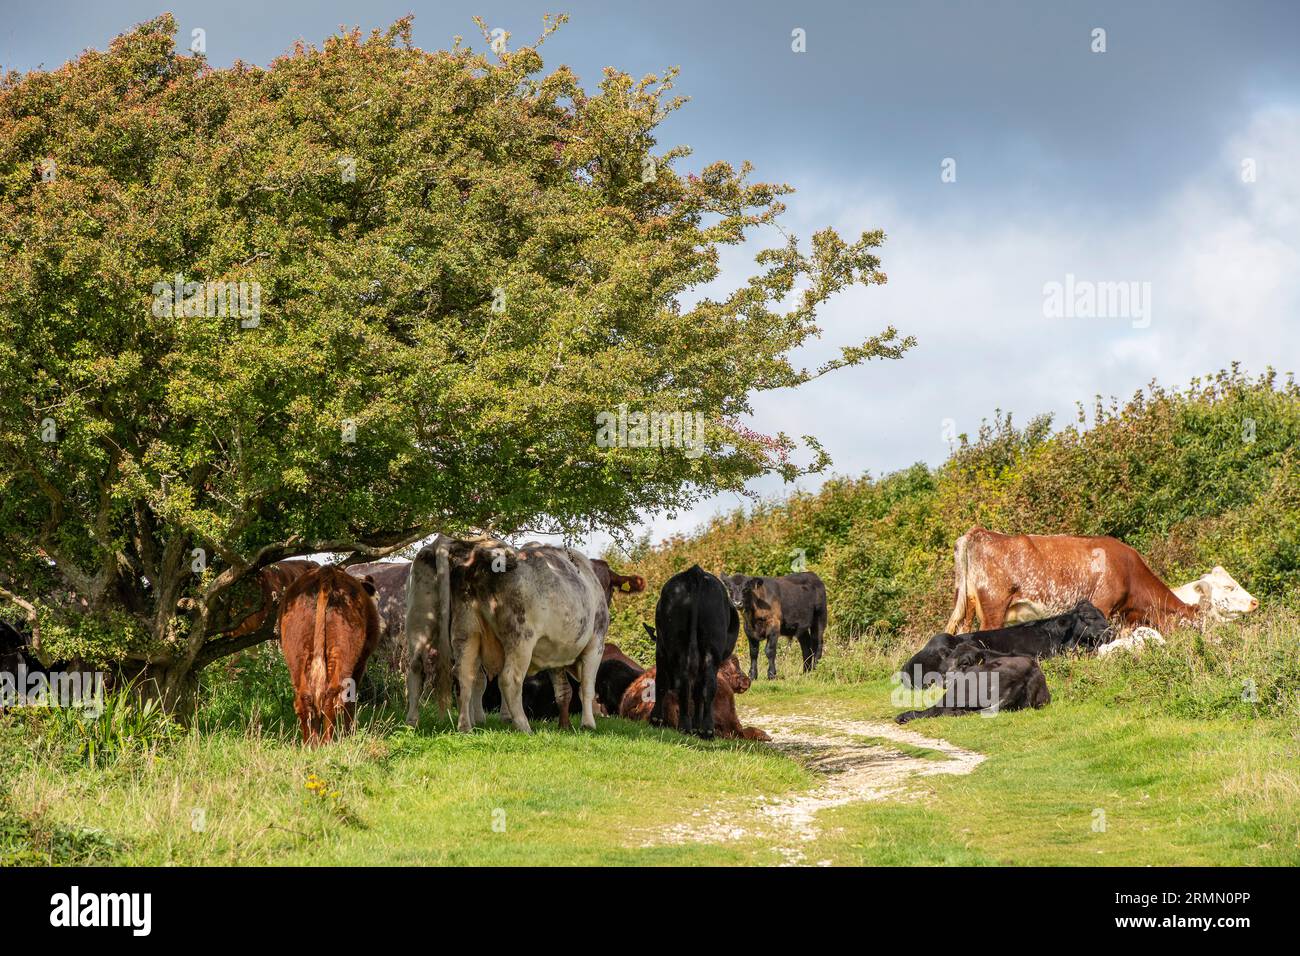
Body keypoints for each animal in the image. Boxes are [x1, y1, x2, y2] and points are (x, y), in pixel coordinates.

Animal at [278, 566, 380, 745]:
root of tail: (325, 572)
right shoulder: (360, 665)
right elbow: (350, 700)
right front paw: (349, 734)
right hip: (343, 654)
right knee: (331, 697)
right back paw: (326, 743)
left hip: (297, 654)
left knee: (305, 697)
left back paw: (309, 744)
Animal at [405, 537, 608, 733]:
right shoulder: (596, 644)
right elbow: (587, 688)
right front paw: (588, 724)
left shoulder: (556, 653)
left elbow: (563, 691)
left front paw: (564, 726)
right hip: (520, 638)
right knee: (509, 679)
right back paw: (523, 725)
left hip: (450, 629)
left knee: (444, 672)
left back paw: (447, 725)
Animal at [648, 566, 739, 738]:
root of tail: (695, 573)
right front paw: (697, 726)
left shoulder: (660, 648)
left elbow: (661, 681)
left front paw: (656, 718)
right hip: (711, 645)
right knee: (707, 684)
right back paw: (707, 729)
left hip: (677, 643)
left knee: (685, 683)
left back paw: (686, 726)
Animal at [943, 527, 1253, 633]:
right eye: (1229, 587)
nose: (1254, 603)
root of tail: (978, 532)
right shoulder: (1101, 605)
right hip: (994, 609)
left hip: (968, 609)